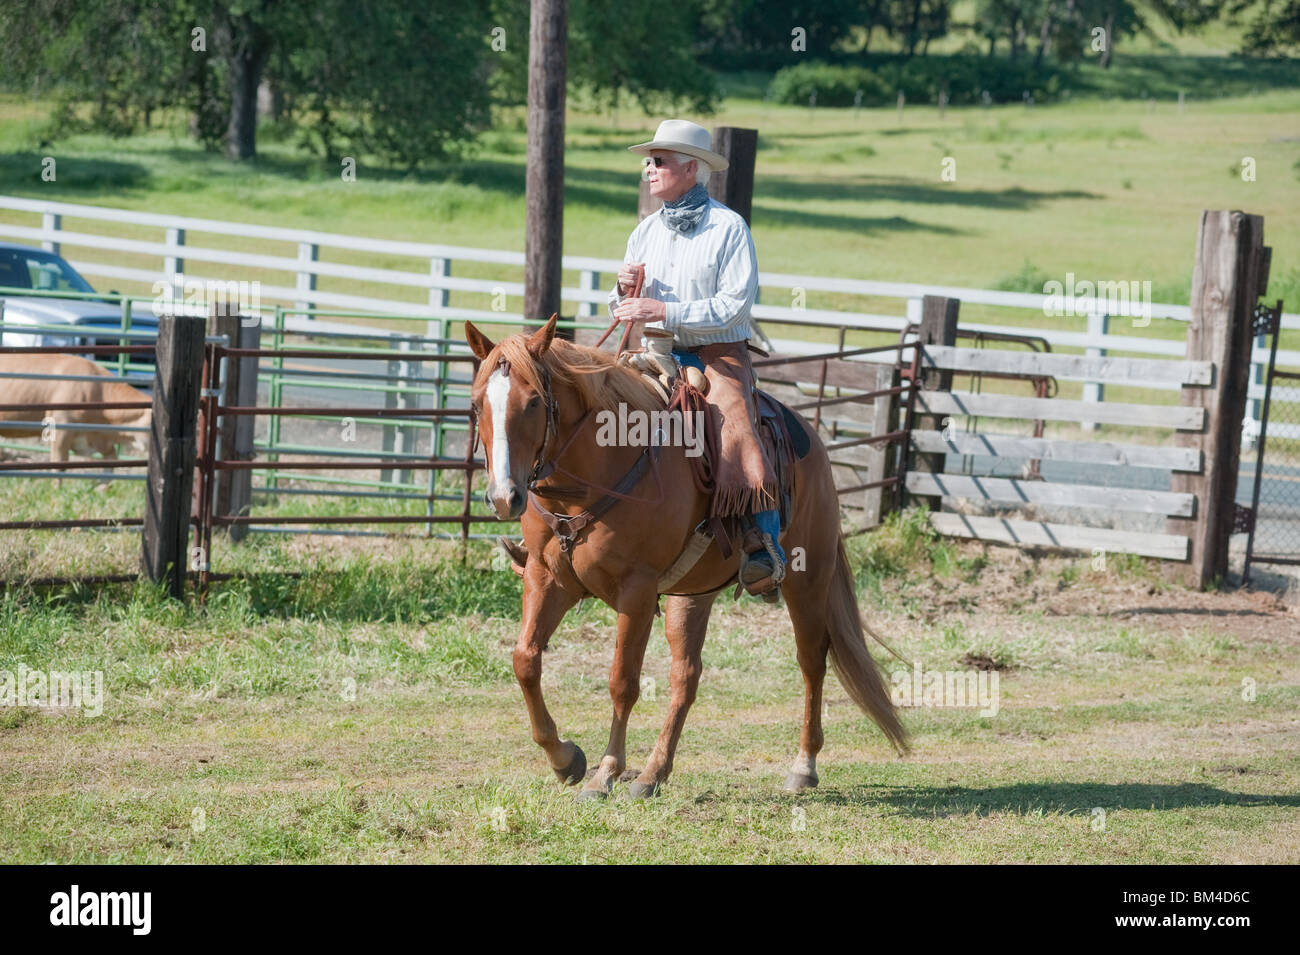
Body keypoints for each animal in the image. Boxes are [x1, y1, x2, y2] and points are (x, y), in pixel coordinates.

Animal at [465, 316, 906, 798]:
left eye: (532, 403)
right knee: (686, 676)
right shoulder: (547, 578)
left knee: (812, 661)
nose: (504, 497)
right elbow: (525, 660)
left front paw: (605, 773)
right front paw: (565, 759)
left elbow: (622, 682)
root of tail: (809, 436)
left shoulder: (636, 593)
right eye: (475, 404)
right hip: (691, 594)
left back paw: (803, 766)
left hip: (808, 579)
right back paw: (653, 773)